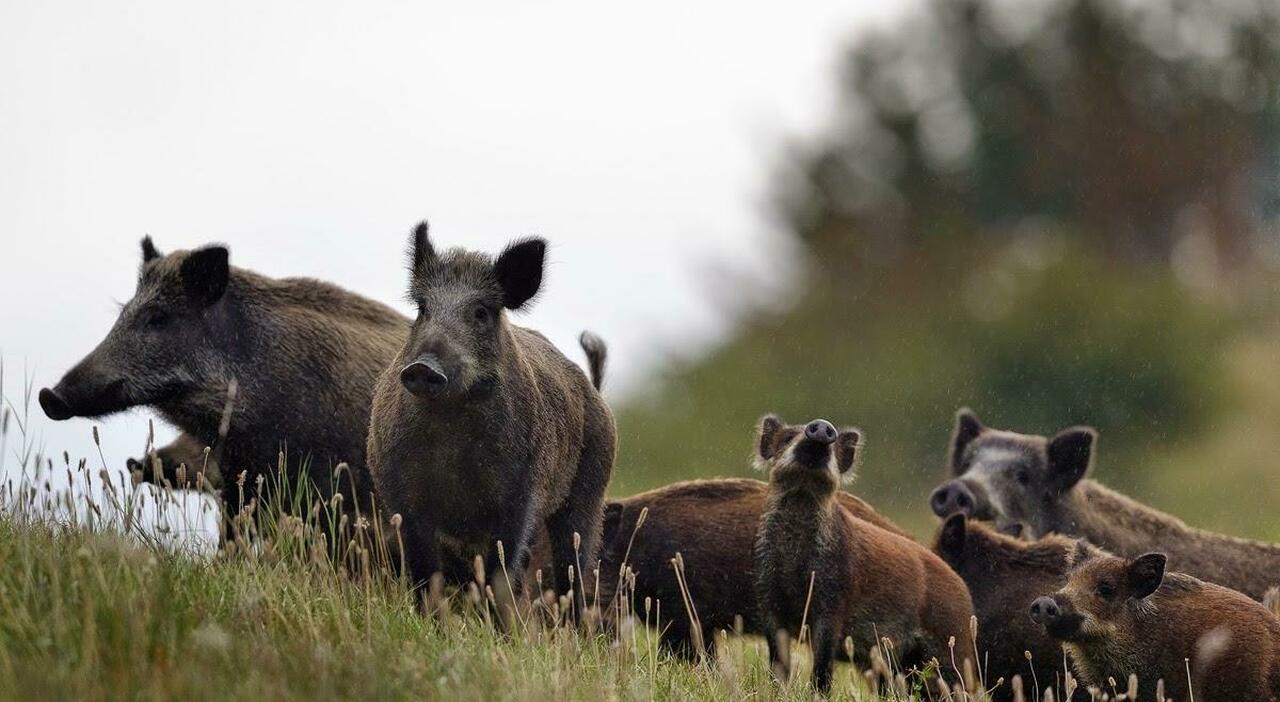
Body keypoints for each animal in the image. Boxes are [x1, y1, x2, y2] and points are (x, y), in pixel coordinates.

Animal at [366, 222, 615, 613]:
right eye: (423, 308)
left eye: (481, 312)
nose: (423, 367)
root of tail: (595, 394)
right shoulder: (402, 494)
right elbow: (425, 571)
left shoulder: (520, 494)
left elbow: (502, 570)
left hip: (589, 492)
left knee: (573, 569)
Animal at [753, 416, 974, 693]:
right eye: (787, 437)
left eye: (834, 443)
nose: (822, 426)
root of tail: (964, 590)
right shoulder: (770, 601)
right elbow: (778, 662)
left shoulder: (832, 604)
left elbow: (822, 666)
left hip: (951, 648)